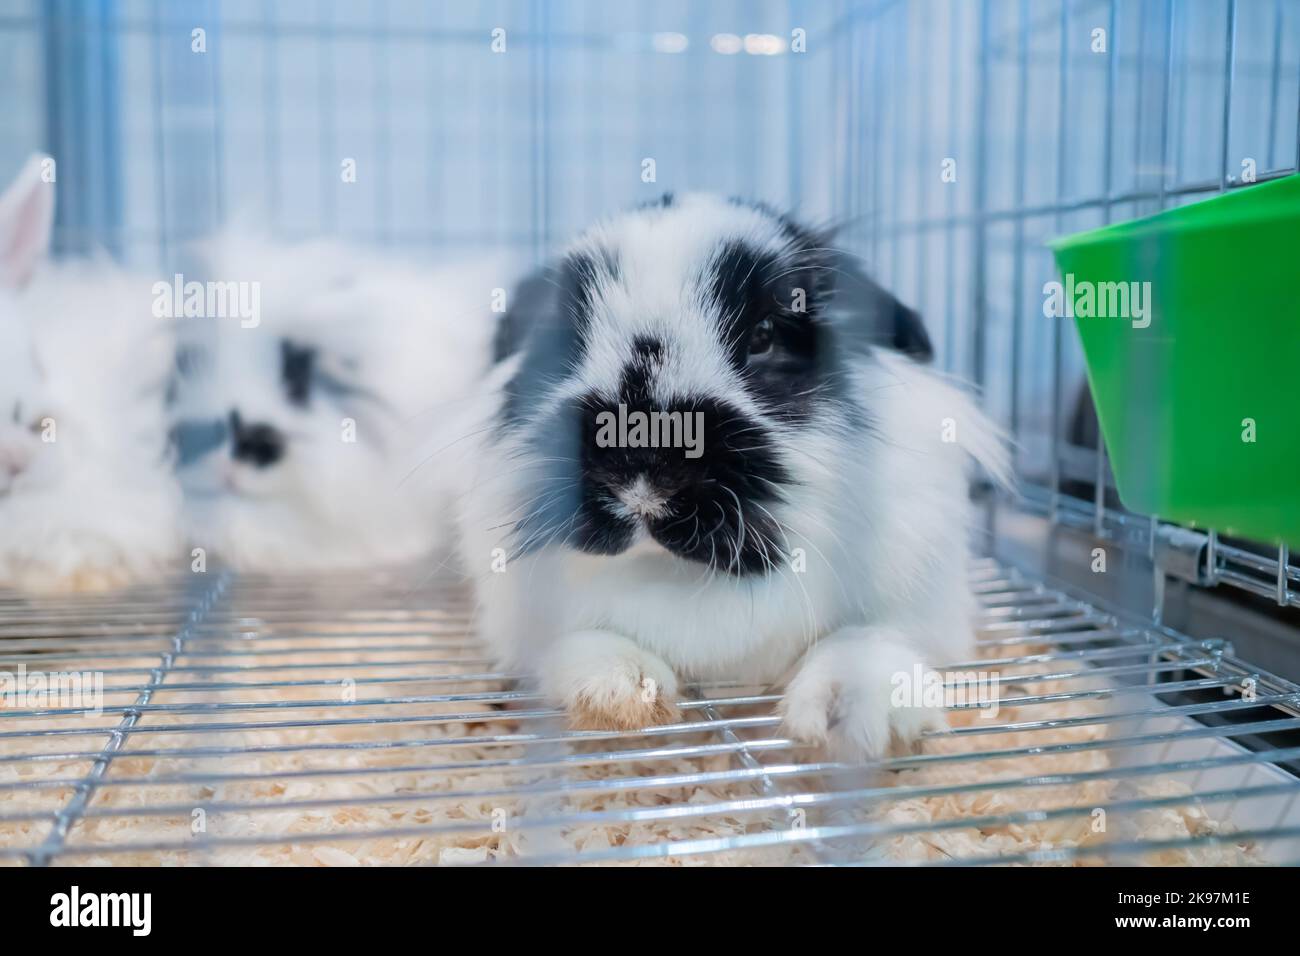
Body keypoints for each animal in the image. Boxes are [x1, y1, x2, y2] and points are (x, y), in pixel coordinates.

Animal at [455, 193, 1010, 759]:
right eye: (565, 343)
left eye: (765, 336)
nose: (641, 475)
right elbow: (585, 643)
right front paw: (622, 692)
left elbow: (867, 640)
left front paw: (855, 717)